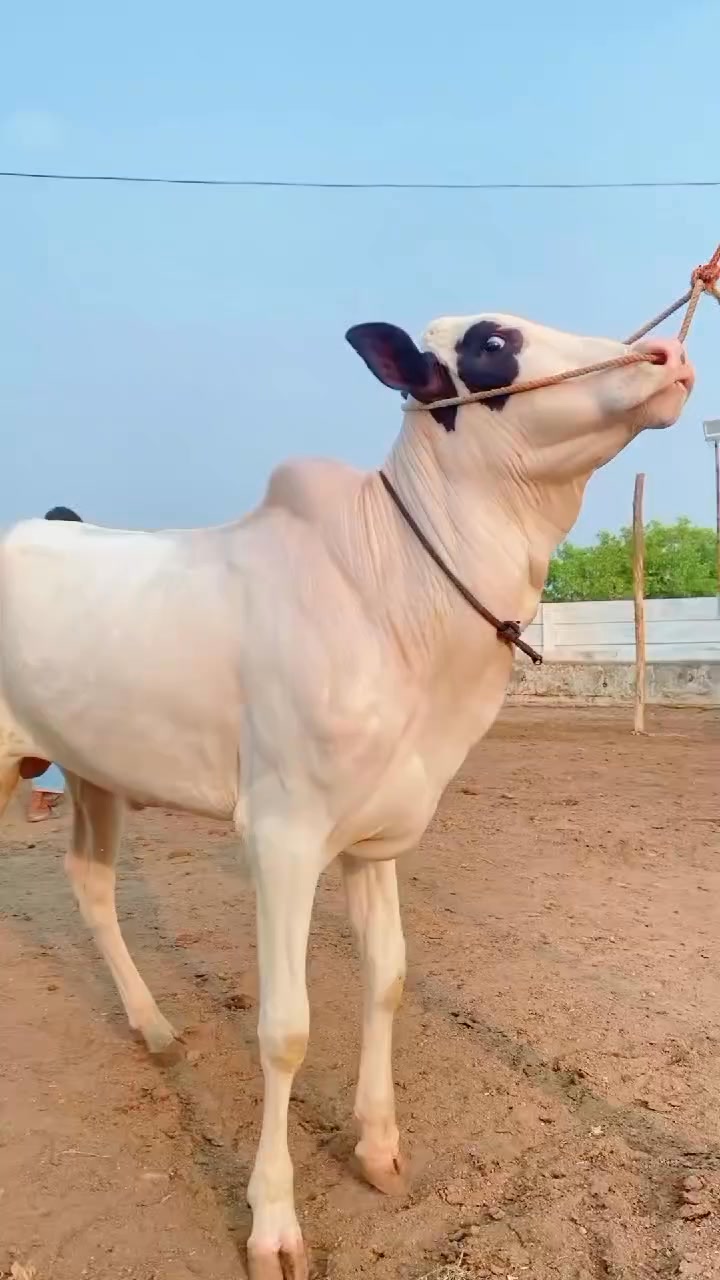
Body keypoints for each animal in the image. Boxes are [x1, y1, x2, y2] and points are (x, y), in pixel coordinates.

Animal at [0, 313, 693, 1278]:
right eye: (491, 345)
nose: (669, 356)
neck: (396, 603)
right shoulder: (282, 833)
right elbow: (285, 1027)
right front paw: (273, 1222)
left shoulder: (378, 832)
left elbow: (388, 979)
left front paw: (378, 1147)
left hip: (94, 767)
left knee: (91, 882)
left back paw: (155, 1028)